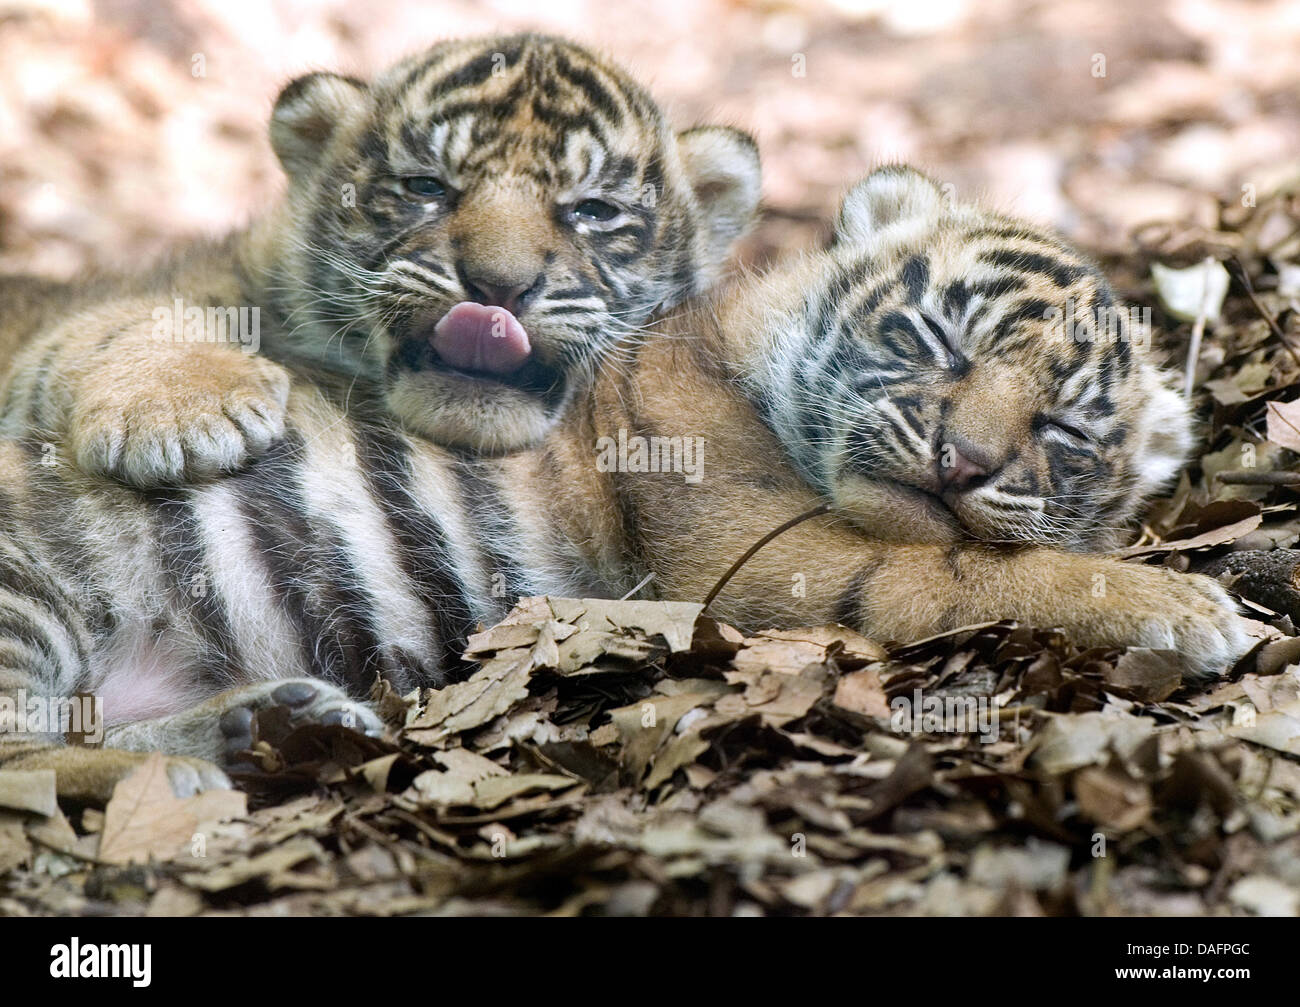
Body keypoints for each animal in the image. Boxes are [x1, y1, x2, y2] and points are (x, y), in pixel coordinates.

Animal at [0, 166, 1257, 805]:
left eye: (1060, 426)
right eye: (936, 340)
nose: (965, 459)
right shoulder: (762, 557)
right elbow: (970, 569)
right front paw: (1187, 606)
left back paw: (268, 724)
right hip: (30, 589)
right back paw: (230, 751)